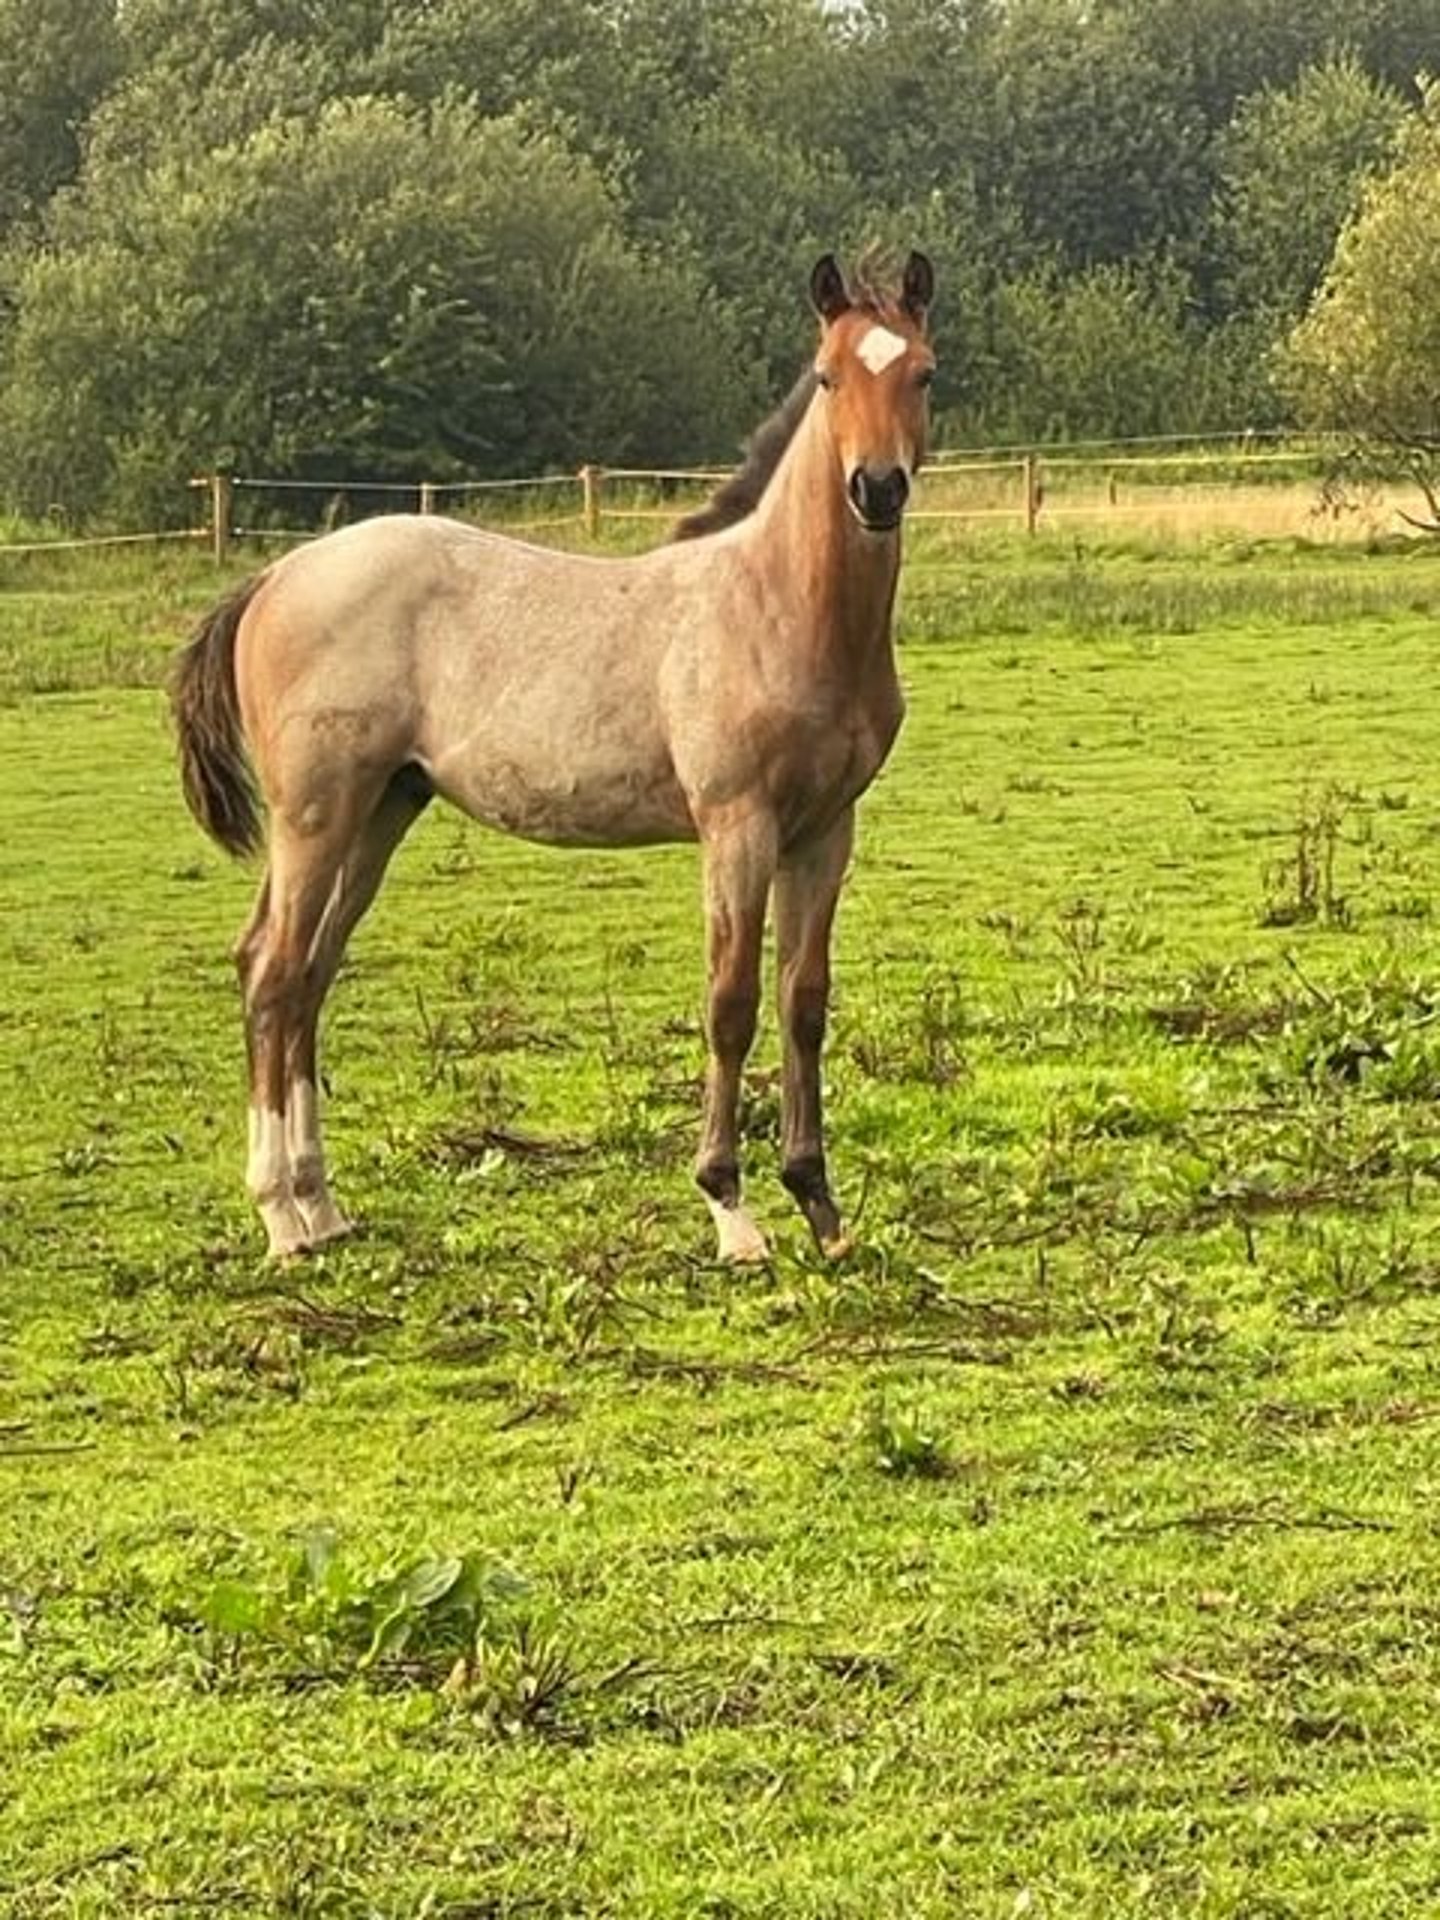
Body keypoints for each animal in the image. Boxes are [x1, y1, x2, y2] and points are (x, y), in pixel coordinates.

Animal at [172, 249, 936, 1262]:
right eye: (827, 378)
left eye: (923, 373)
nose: (876, 490)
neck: (775, 606)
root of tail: (275, 575)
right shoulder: (736, 824)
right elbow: (731, 1002)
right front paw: (730, 1209)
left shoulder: (824, 831)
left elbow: (803, 1002)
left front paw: (820, 1206)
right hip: (314, 813)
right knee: (270, 970)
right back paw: (281, 1218)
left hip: (380, 810)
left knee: (307, 975)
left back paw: (323, 1206)